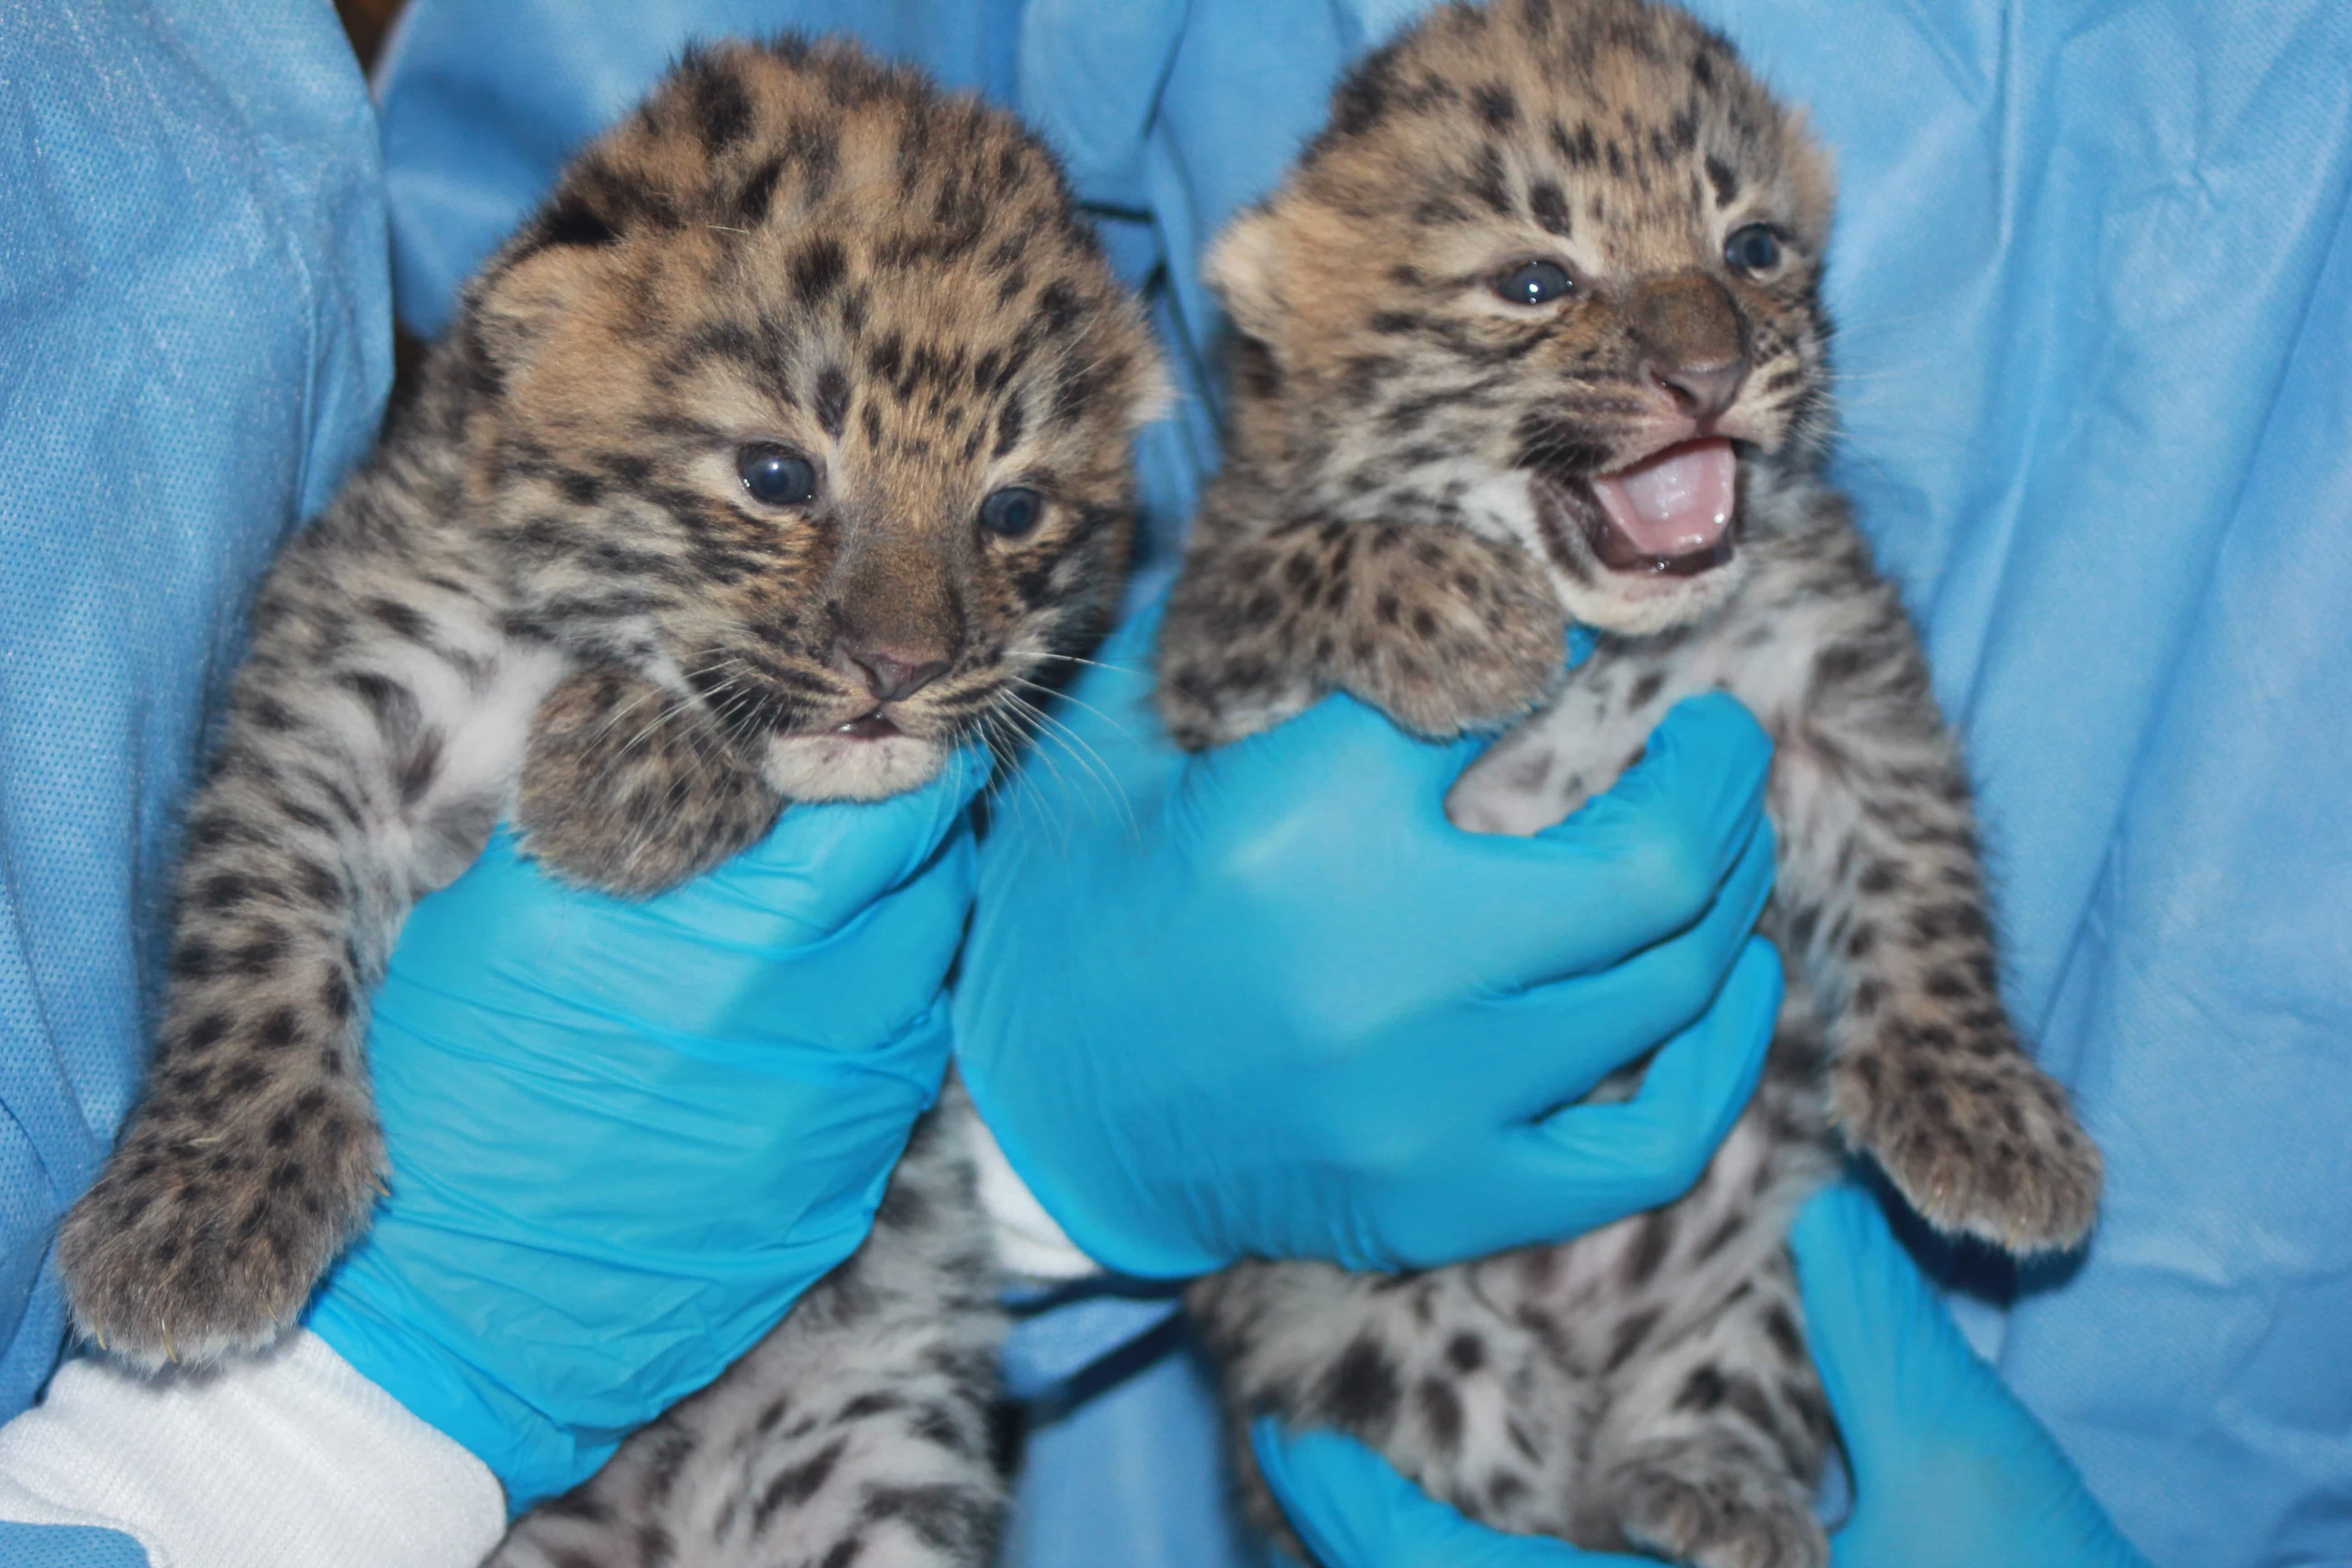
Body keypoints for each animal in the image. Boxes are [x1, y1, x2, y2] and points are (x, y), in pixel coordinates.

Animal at [52, 37, 1162, 1568]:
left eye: (1014, 511)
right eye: (776, 475)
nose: (904, 666)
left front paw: (622, 772)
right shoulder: (329, 691)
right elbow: (258, 927)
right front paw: (201, 1218)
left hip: (856, 1448)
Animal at [1158, 3, 2104, 1564]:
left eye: (1755, 250)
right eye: (1537, 281)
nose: (1707, 375)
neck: (1626, 649)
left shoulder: (1844, 700)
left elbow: (1921, 889)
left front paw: (1983, 1120)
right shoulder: (1201, 676)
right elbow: (1297, 562)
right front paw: (1464, 614)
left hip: (1765, 1257)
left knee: (1712, 1394)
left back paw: (1713, 1488)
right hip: (1364, 1320)